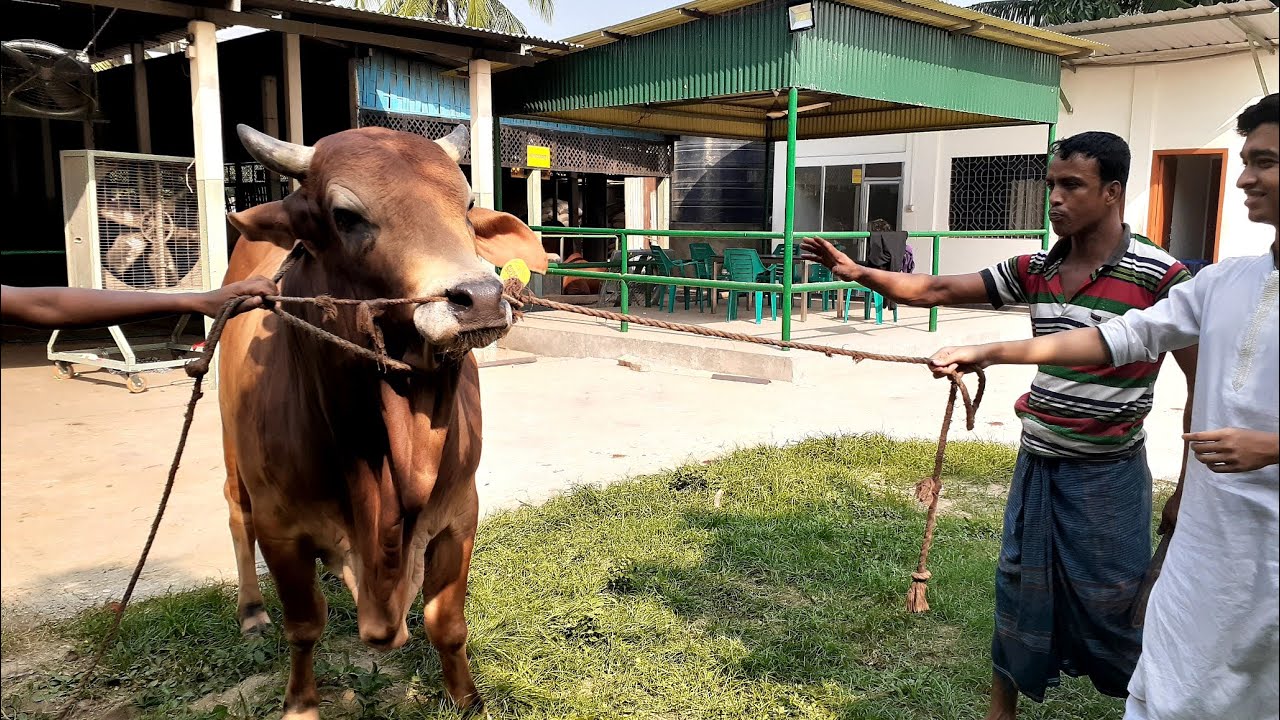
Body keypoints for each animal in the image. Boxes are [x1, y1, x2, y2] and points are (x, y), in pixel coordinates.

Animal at [217, 123, 547, 719]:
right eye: (345, 214)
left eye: (466, 204)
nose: (481, 297)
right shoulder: (281, 529)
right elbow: (304, 627)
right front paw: (300, 703)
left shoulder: (459, 513)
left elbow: (447, 622)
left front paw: (466, 698)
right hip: (230, 446)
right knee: (236, 513)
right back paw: (251, 610)